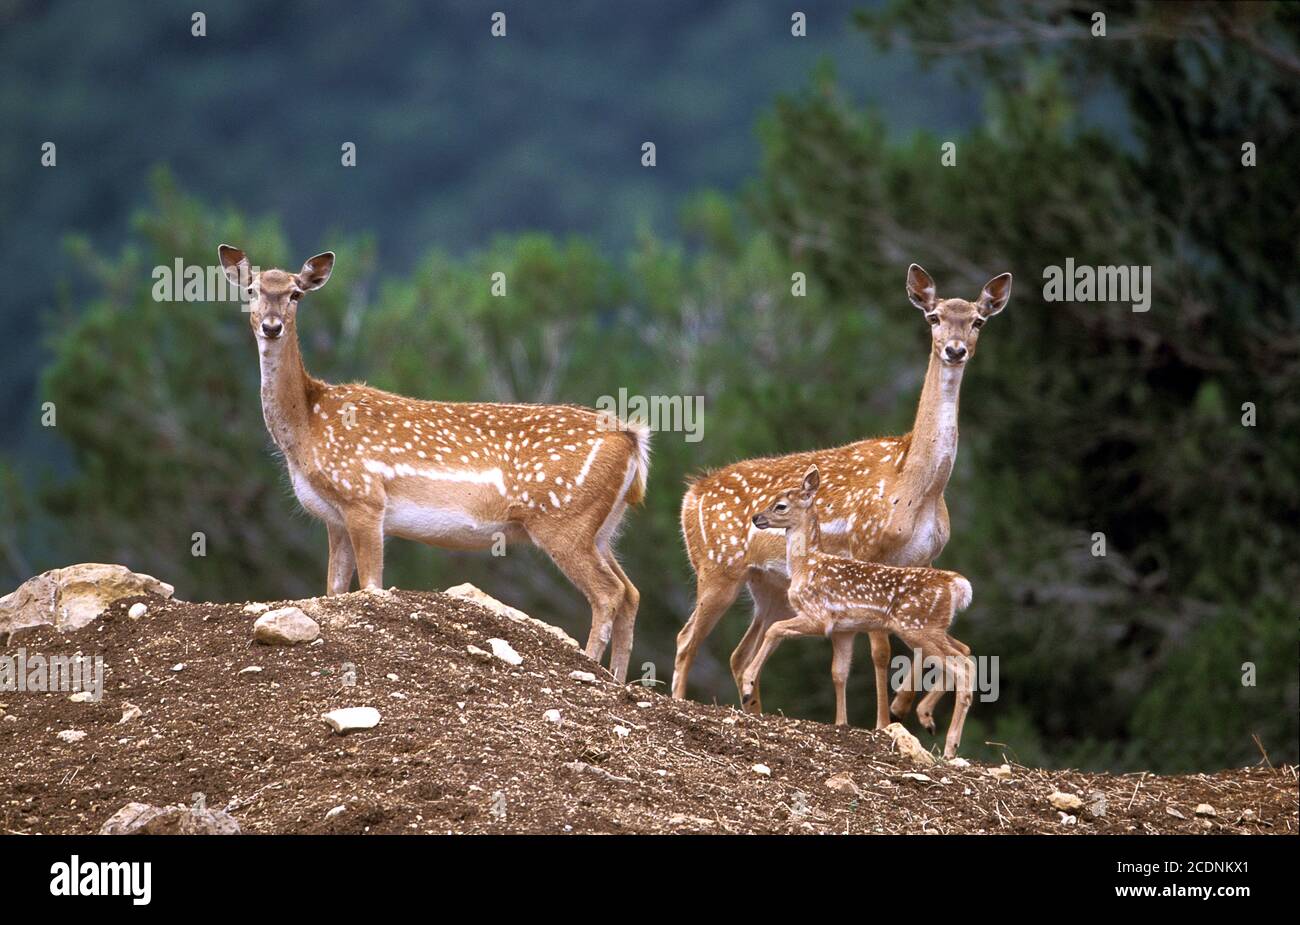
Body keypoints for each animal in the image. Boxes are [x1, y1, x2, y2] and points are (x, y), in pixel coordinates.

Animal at [218, 245, 651, 681]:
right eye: (252, 289)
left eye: (295, 294)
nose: (271, 326)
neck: (308, 425)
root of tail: (632, 439)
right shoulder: (334, 517)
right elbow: (334, 589)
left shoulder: (365, 497)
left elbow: (371, 584)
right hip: (600, 526)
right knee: (631, 591)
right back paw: (620, 680)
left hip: (563, 518)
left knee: (609, 592)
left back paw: (590, 669)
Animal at [672, 263, 1010, 727]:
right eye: (933, 317)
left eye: (978, 320)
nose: (955, 350)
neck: (915, 487)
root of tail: (692, 494)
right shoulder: (866, 548)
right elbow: (881, 650)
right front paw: (887, 720)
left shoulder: (925, 558)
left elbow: (920, 640)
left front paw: (912, 707)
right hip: (717, 567)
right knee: (687, 638)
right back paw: (680, 701)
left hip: (769, 585)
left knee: (740, 652)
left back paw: (754, 707)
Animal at [748, 467, 976, 758]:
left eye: (780, 505)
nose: (756, 517)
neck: (806, 564)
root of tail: (957, 585)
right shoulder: (843, 629)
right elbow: (838, 671)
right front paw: (840, 723)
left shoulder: (819, 616)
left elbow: (774, 629)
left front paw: (747, 684)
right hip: (934, 627)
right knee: (965, 651)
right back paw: (928, 719)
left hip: (917, 626)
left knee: (963, 666)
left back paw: (950, 746)